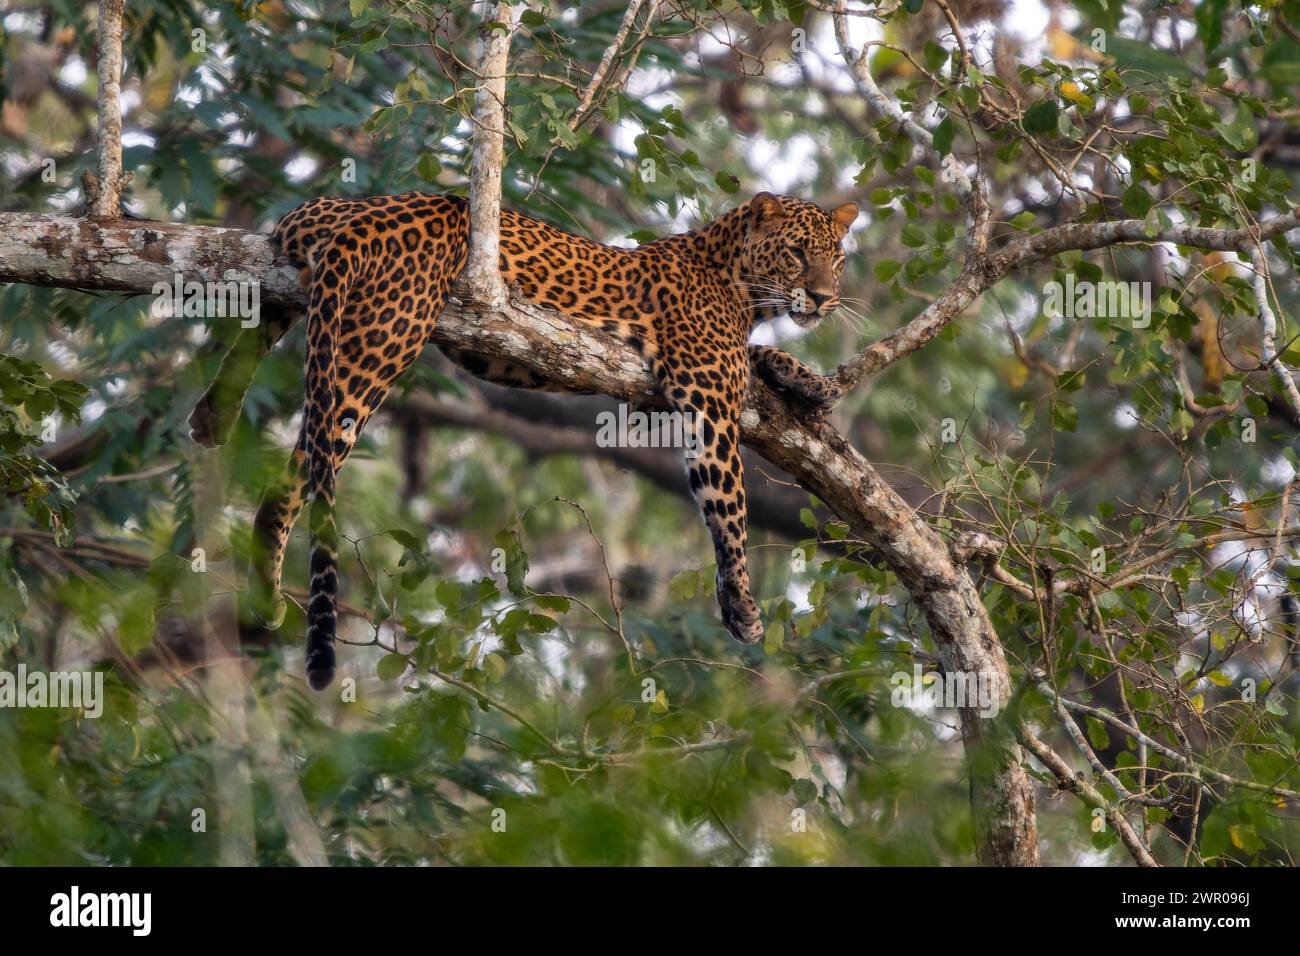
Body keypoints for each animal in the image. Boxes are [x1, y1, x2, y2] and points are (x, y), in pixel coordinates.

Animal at [188, 191, 859, 690]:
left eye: (837, 258)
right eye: (797, 253)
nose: (825, 297)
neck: (735, 277)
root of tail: (359, 209)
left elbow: (768, 360)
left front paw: (810, 383)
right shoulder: (709, 399)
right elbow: (729, 503)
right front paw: (742, 604)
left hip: (308, 296)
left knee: (259, 330)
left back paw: (212, 419)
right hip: (378, 342)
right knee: (297, 473)